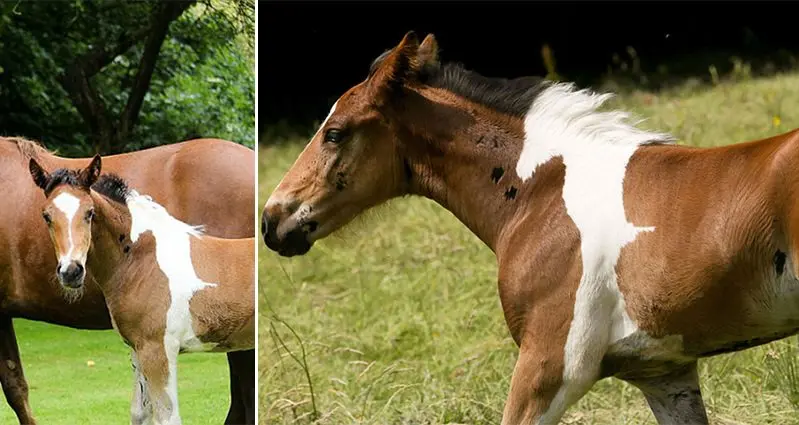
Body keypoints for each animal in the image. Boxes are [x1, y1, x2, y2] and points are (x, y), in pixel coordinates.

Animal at [0, 137, 255, 424]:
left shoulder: (158, 351)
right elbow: (140, 413)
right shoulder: (139, 349)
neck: (143, 256)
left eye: (89, 213)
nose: (71, 271)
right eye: (46, 216)